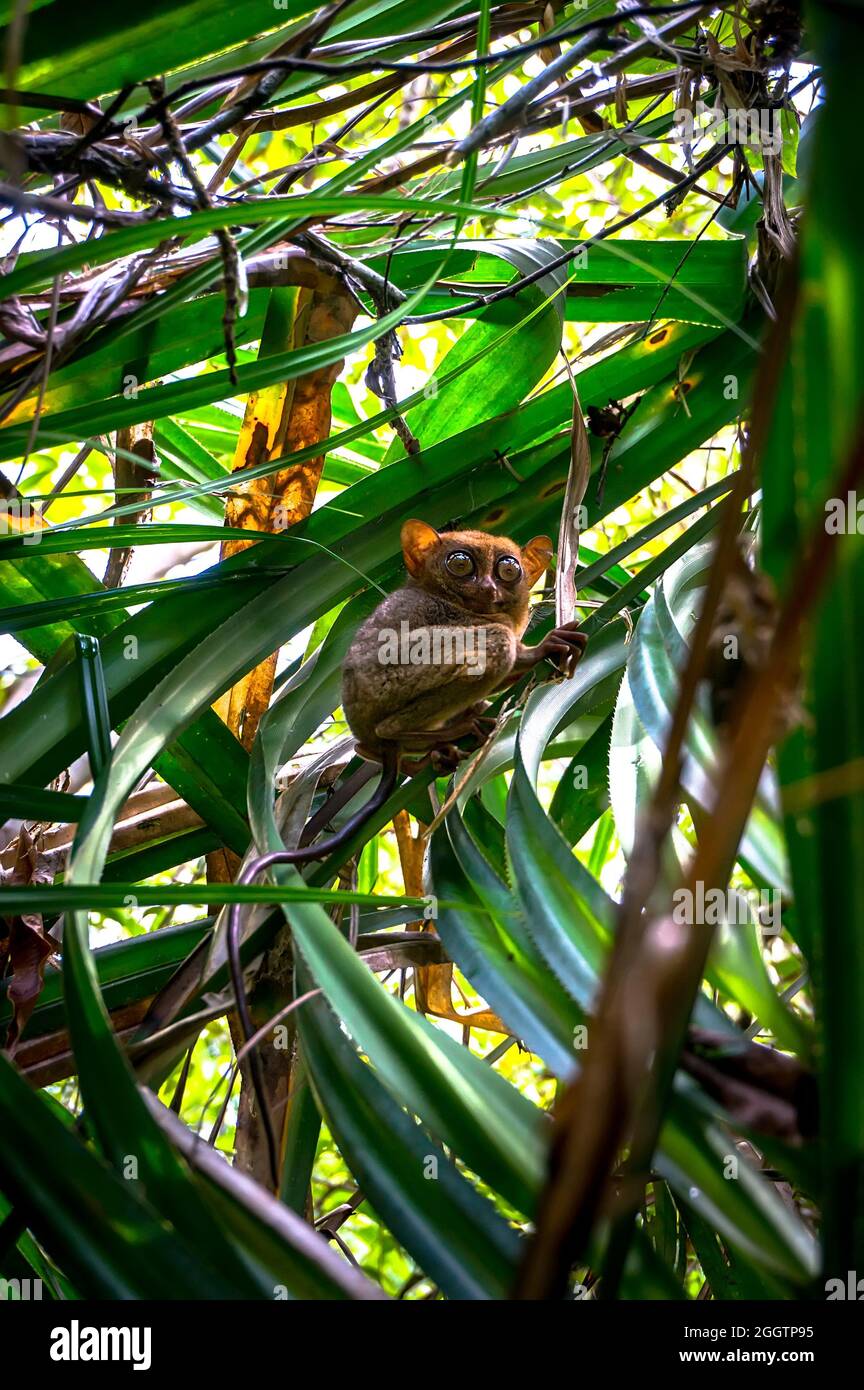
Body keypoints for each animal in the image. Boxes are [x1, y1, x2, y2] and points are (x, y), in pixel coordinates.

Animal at [226, 520, 587, 1184]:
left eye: (509, 569)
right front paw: (541, 650)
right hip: (403, 683)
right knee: (486, 650)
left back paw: (449, 746)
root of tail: (369, 737)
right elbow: (499, 642)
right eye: (461, 563)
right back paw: (444, 729)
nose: (491, 589)